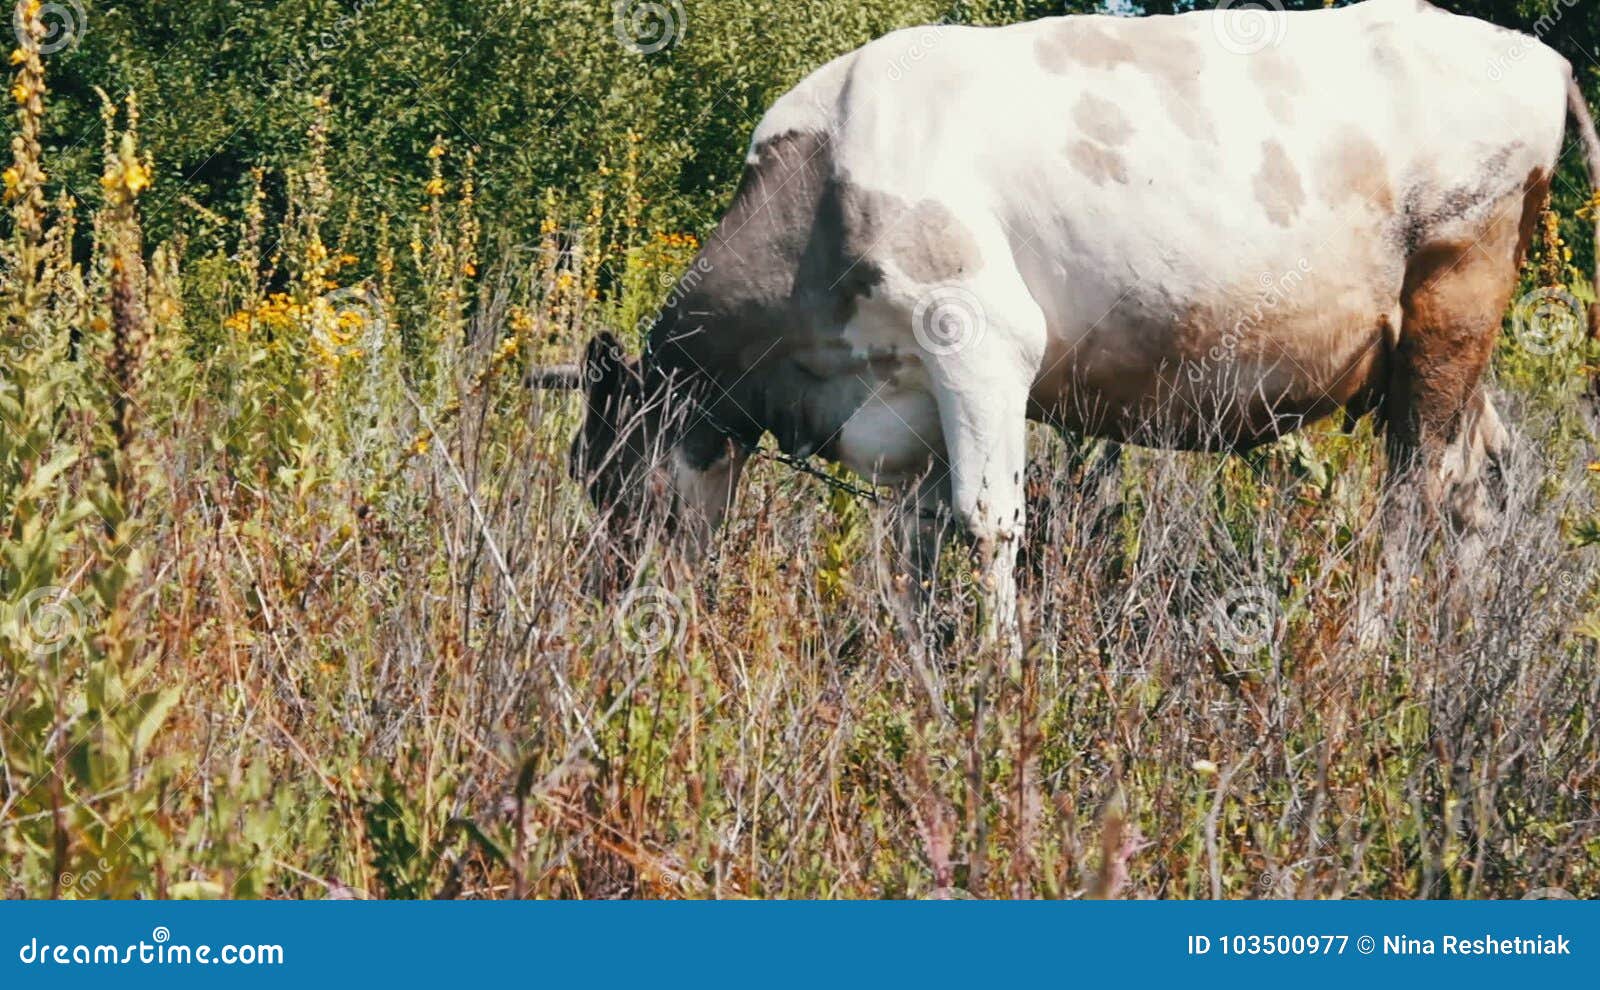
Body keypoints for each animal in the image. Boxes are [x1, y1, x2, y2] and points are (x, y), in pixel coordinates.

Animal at [546, 0, 1600, 650]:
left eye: (606, 478)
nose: (613, 613)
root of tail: (1537, 55)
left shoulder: (980, 339)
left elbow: (989, 522)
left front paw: (1000, 670)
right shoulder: (900, 409)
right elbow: (911, 549)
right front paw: (909, 665)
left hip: (1451, 302)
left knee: (1416, 494)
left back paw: (1375, 650)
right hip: (1438, 347)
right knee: (1482, 486)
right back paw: (1462, 644)